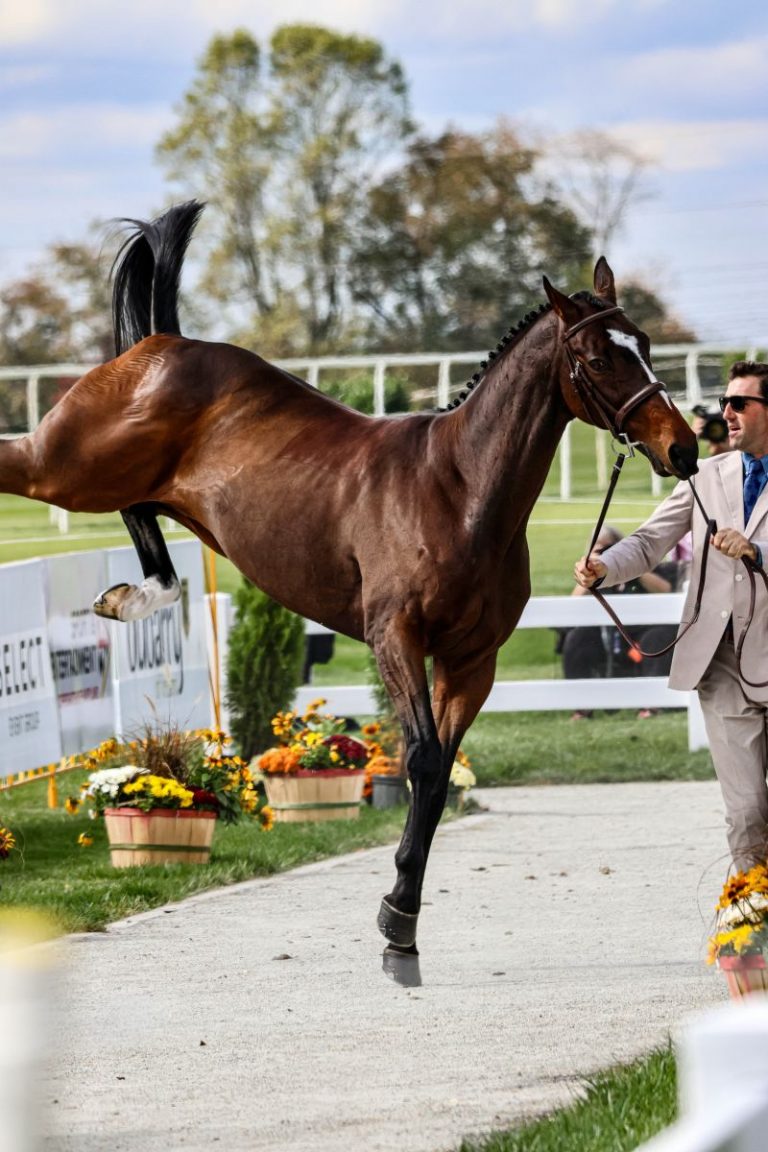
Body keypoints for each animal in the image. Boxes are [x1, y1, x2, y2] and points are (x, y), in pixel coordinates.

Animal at [3, 201, 698, 950]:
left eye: (646, 344)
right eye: (599, 357)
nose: (683, 448)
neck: (458, 490)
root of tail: (165, 344)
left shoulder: (471, 660)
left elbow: (439, 771)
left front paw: (404, 913)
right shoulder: (397, 638)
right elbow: (421, 758)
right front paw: (397, 910)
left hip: (126, 484)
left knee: (137, 510)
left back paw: (137, 595)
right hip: (62, 467)